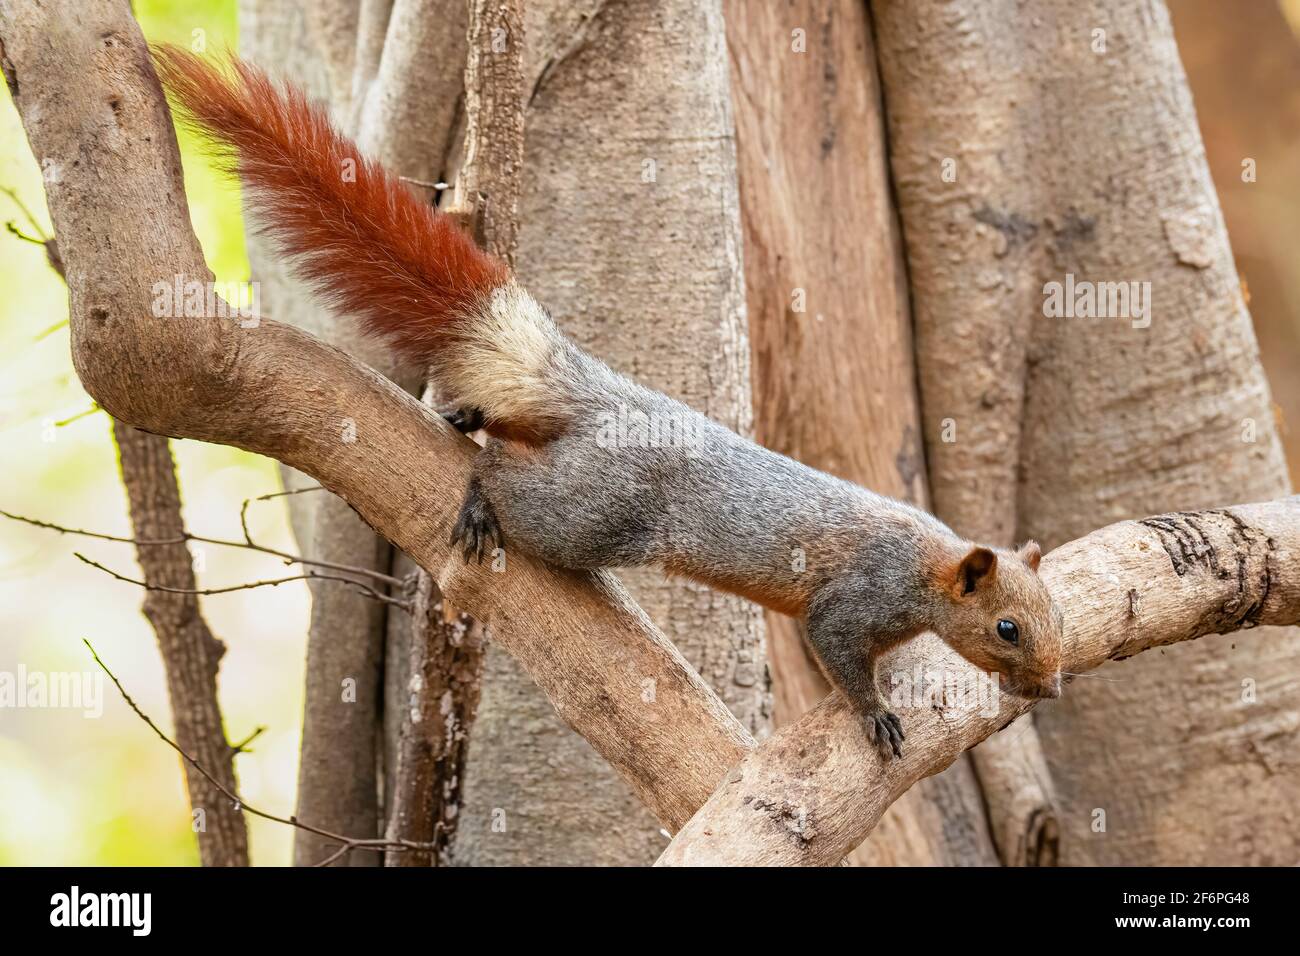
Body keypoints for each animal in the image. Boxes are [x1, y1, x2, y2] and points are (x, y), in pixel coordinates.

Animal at [154, 47, 1064, 760]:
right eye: (1007, 629)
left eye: (1055, 613)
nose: (1052, 688)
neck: (928, 564)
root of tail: (606, 397)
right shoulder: (857, 594)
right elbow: (837, 647)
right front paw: (874, 712)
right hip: (598, 511)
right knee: (508, 477)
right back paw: (481, 496)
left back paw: (463, 417)